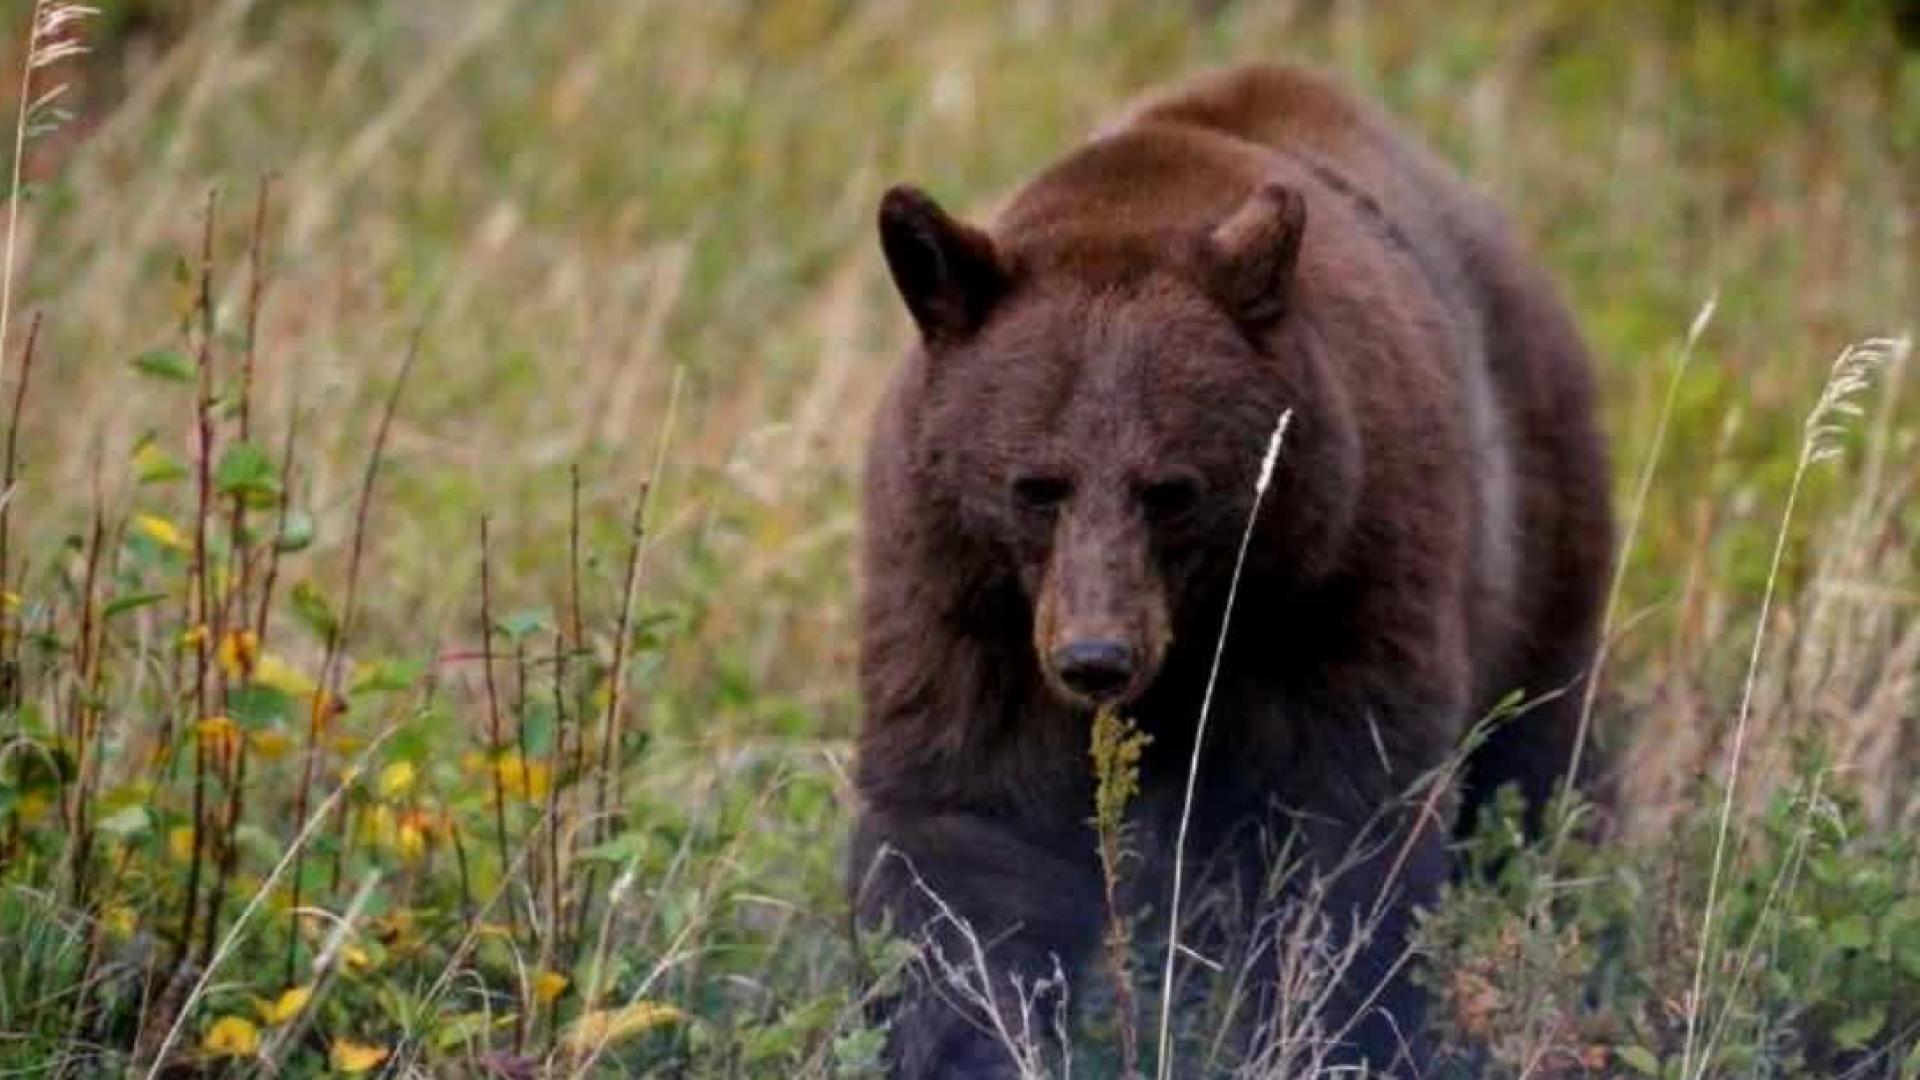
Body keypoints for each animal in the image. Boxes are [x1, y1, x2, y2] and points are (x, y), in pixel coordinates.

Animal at [850, 63, 1612, 1078]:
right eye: (1036, 486)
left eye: (1171, 489)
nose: (1097, 658)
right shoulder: (961, 590)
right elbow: (966, 823)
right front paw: (966, 1033)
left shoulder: (1340, 571)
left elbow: (1341, 827)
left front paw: (1333, 1028)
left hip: (1538, 531)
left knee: (1535, 761)